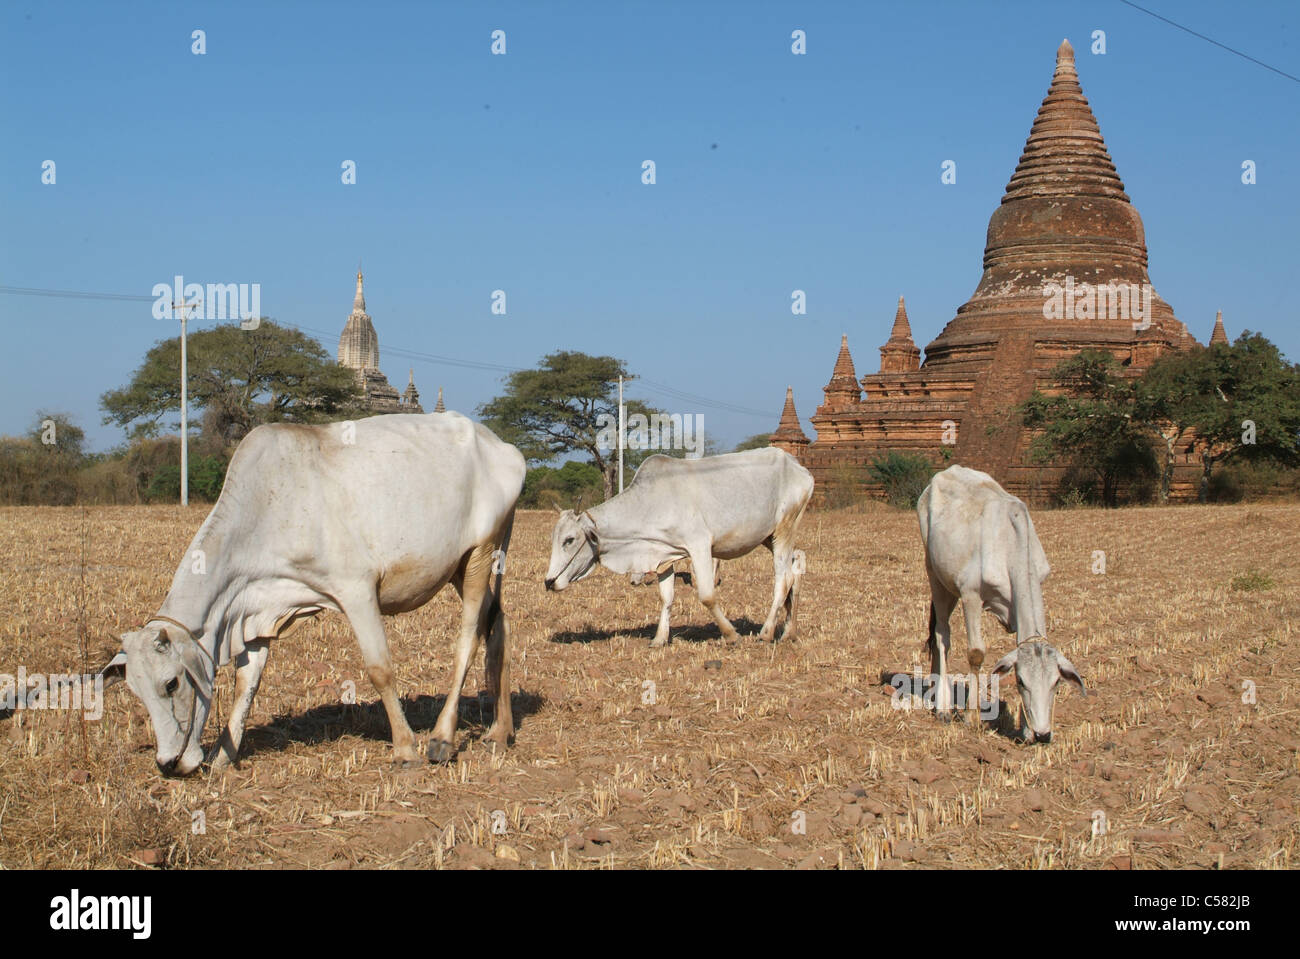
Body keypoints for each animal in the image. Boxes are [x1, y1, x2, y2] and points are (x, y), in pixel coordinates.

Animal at [96, 411, 526, 775]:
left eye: (171, 683)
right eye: (134, 690)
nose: (168, 764)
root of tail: (505, 448)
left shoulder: (357, 589)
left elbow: (380, 670)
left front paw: (405, 750)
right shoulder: (258, 611)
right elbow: (246, 684)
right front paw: (222, 756)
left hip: (481, 553)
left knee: (468, 637)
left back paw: (442, 737)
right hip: (462, 567)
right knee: (499, 625)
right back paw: (499, 732)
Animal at [544, 447, 813, 646]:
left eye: (569, 540)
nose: (549, 582)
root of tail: (799, 468)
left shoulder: (699, 546)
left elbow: (707, 596)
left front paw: (730, 634)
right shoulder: (663, 556)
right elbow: (666, 597)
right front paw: (659, 639)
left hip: (784, 529)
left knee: (784, 578)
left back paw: (767, 632)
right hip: (770, 537)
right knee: (797, 564)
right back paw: (789, 632)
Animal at [916, 464, 1084, 741]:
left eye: (1056, 683)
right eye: (1021, 682)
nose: (1042, 734)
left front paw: (1026, 728)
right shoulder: (971, 595)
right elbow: (975, 653)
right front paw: (971, 716)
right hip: (936, 576)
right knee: (942, 635)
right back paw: (942, 707)